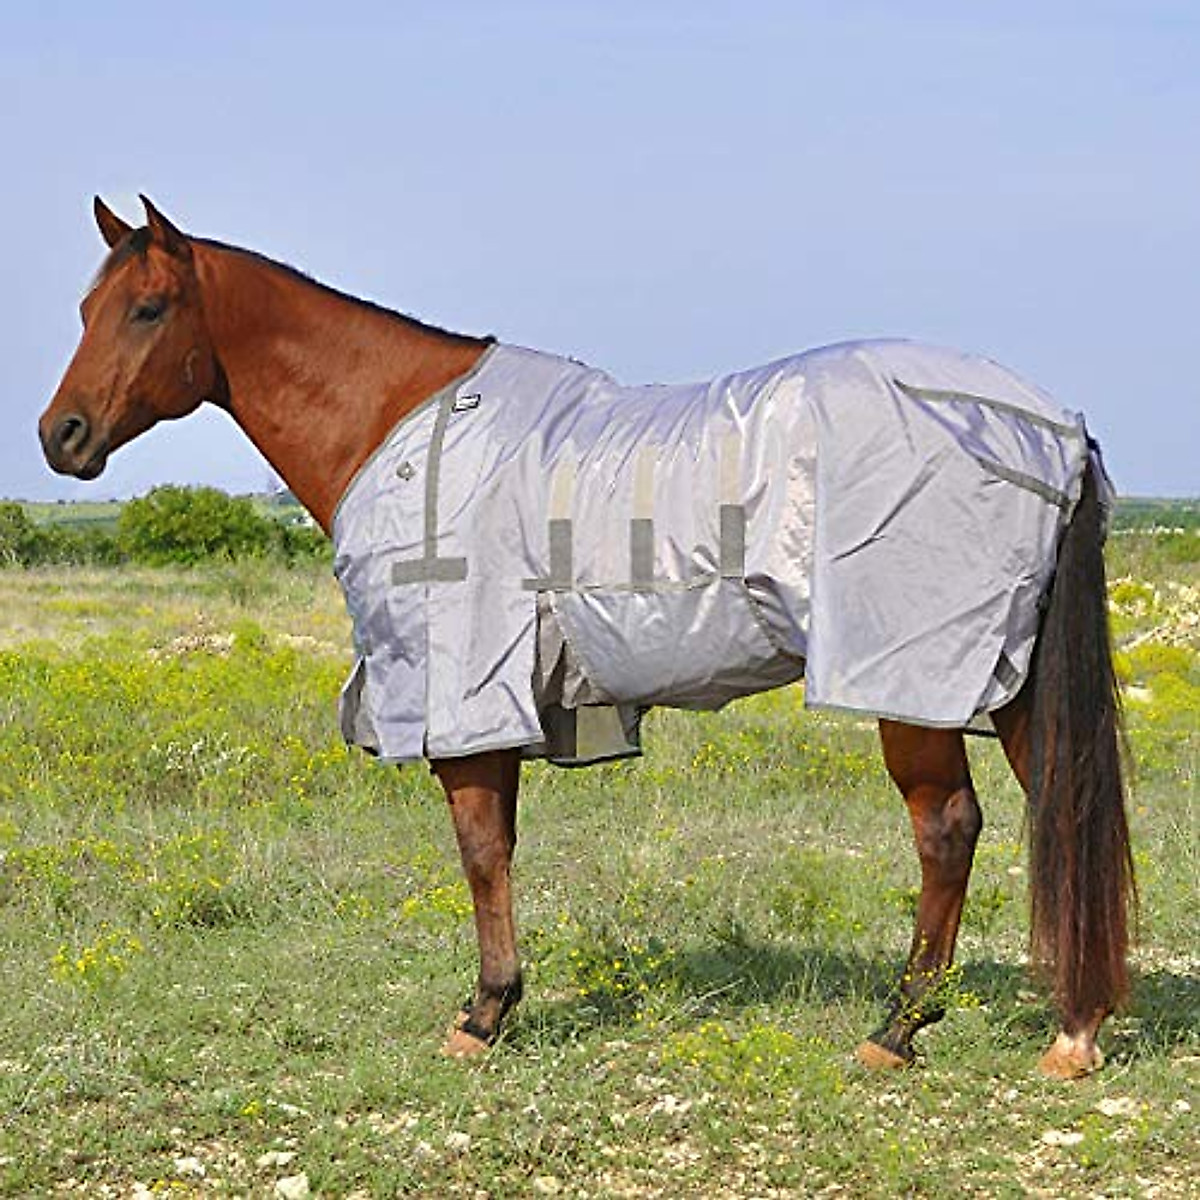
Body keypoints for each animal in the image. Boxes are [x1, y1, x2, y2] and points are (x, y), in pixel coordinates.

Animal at [39, 196, 1134, 1078]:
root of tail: (1052, 425)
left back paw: (903, 1028)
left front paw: (484, 1015)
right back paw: (1071, 1026)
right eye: (85, 310)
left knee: (948, 830)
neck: (401, 430)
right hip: (1012, 680)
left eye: (147, 308)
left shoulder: (465, 693)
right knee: (1057, 806)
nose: (62, 436)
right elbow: (499, 842)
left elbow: (481, 848)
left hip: (913, 677)